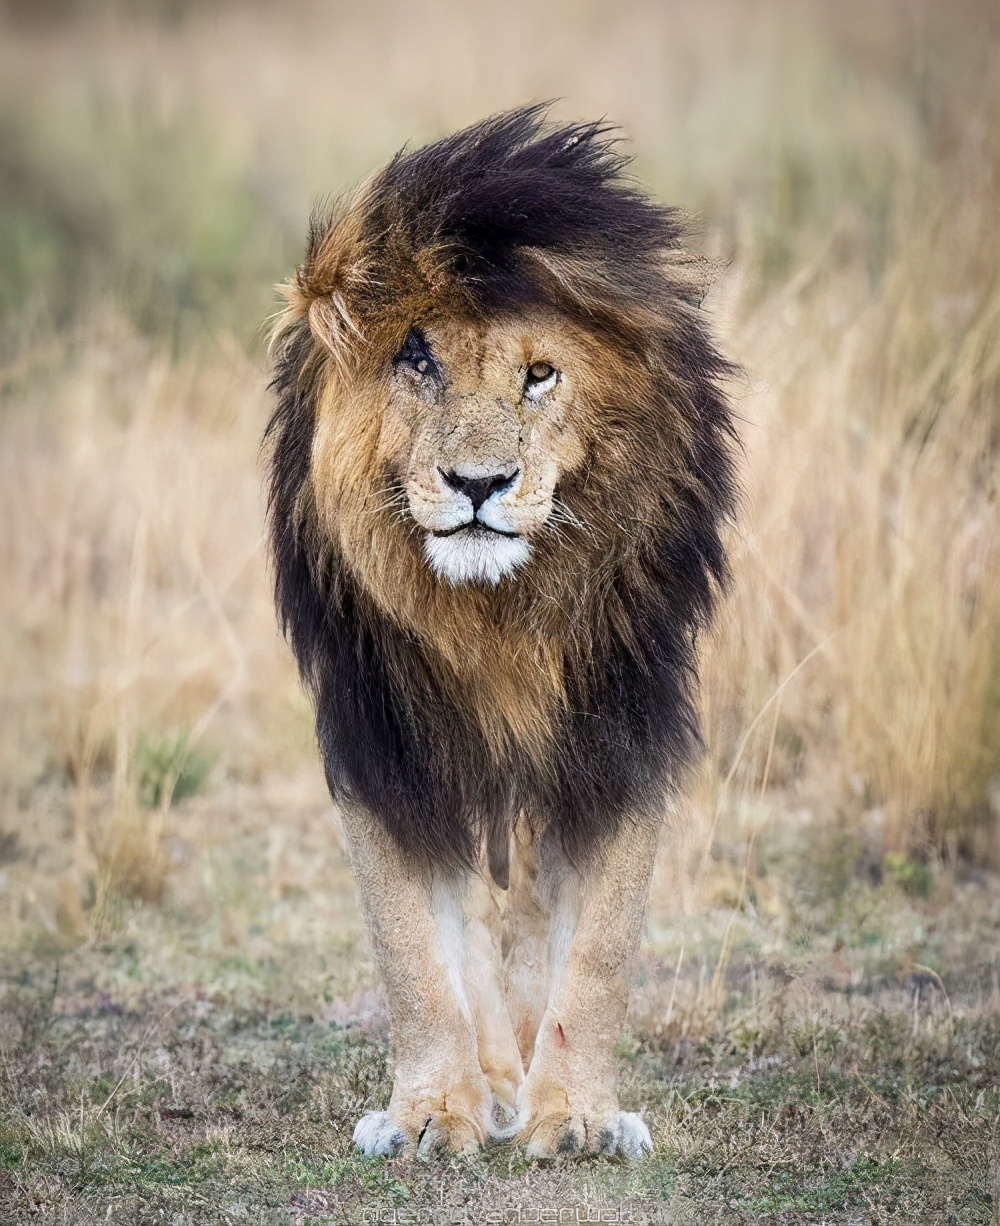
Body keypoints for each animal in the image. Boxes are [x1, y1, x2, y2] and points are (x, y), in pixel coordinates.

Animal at [265, 106, 737, 1160]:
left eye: (541, 376)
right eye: (418, 359)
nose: (479, 484)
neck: (495, 620)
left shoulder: (620, 734)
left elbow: (596, 954)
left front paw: (577, 1116)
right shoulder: (384, 743)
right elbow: (414, 954)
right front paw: (434, 1110)